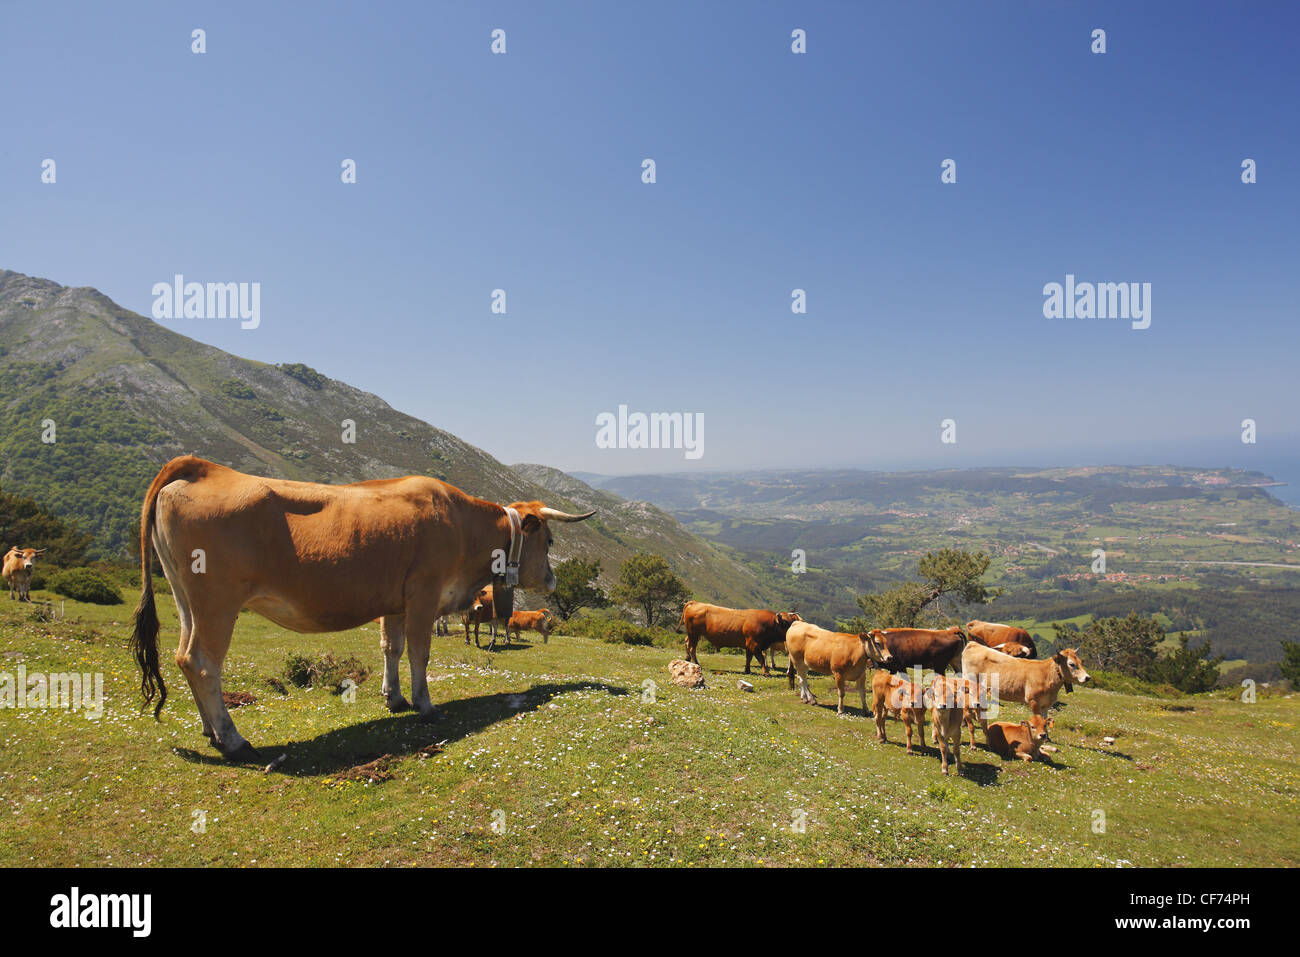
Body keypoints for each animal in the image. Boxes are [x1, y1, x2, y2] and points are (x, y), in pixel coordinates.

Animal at [128, 455, 594, 762]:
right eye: (550, 540)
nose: (551, 581)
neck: (462, 525)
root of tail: (202, 466)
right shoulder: (424, 594)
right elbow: (419, 652)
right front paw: (425, 705)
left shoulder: (395, 601)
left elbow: (392, 648)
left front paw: (394, 697)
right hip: (218, 602)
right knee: (203, 661)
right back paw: (232, 738)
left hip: (186, 601)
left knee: (183, 657)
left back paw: (210, 729)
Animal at [960, 642, 1091, 728]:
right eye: (1071, 664)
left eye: (1081, 662)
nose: (1087, 677)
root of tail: (973, 644)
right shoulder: (1033, 701)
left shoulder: (1046, 704)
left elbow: (1045, 720)